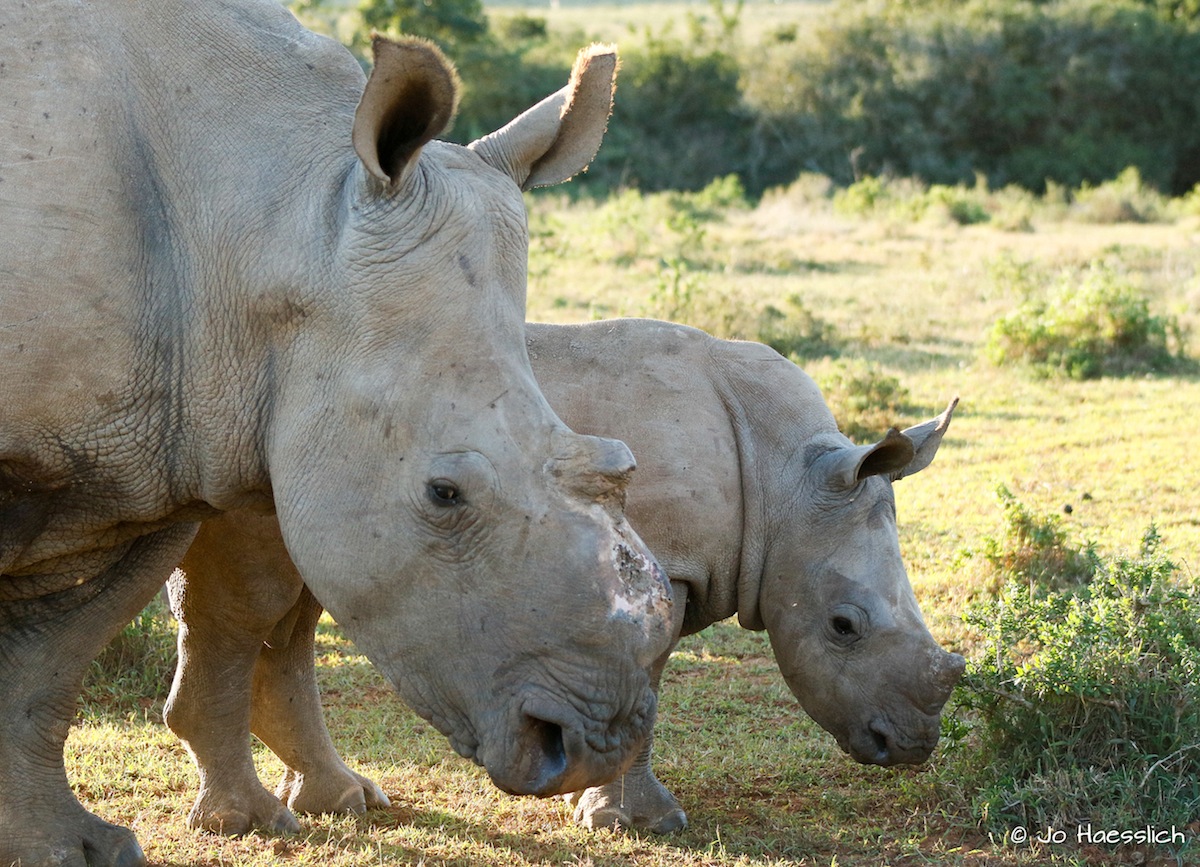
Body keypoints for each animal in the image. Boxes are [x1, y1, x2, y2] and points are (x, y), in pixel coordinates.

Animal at [0, 3, 676, 859]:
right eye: (444, 493)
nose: (596, 741)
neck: (269, 218)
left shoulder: (161, 455)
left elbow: (46, 669)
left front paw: (70, 846)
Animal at [162, 314, 964, 830]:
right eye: (843, 626)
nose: (911, 748)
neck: (785, 482)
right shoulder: (658, 569)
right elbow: (647, 684)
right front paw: (637, 823)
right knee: (257, 603)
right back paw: (253, 824)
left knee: (295, 609)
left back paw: (347, 803)